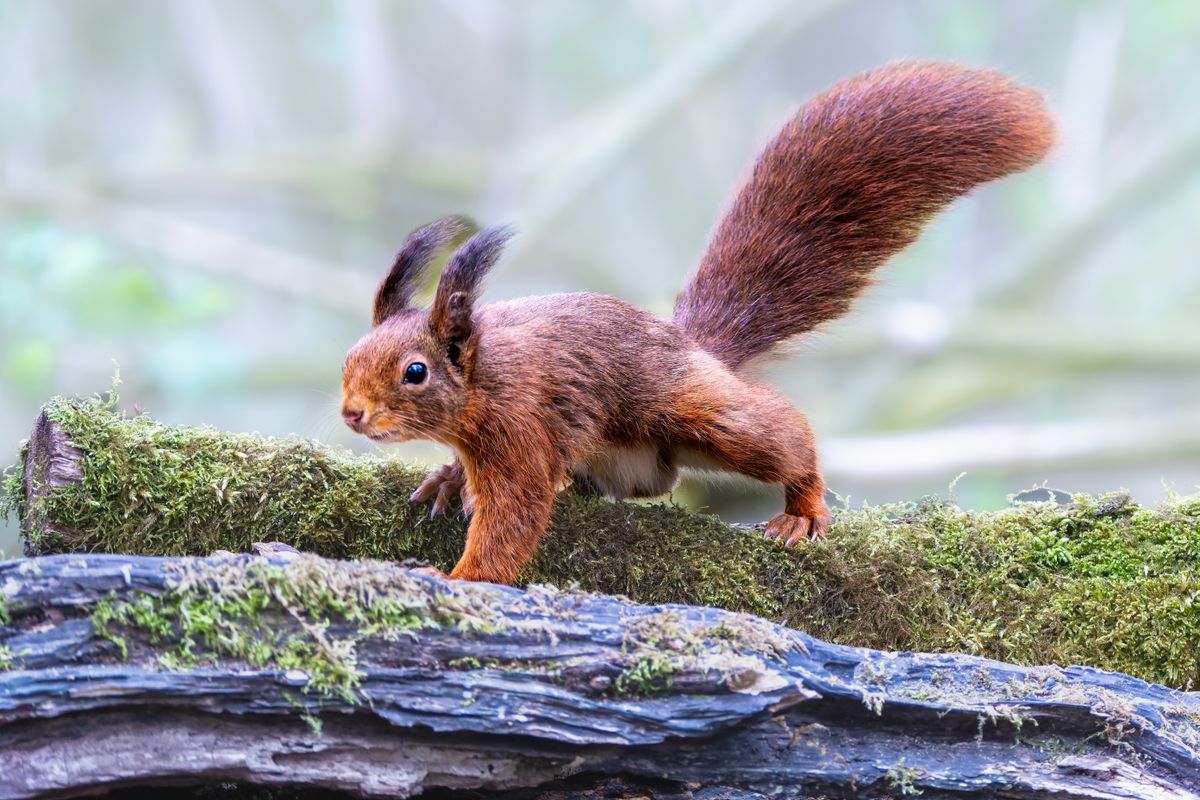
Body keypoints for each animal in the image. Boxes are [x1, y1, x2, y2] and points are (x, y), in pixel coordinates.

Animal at [341, 62, 1054, 584]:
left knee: (779, 434)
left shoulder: (521, 428)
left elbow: (512, 521)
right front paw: (446, 476)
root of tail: (688, 343)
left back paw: (802, 506)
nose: (351, 413)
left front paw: (459, 579)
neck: (482, 378)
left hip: (692, 412)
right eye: (350, 358)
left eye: (415, 372)